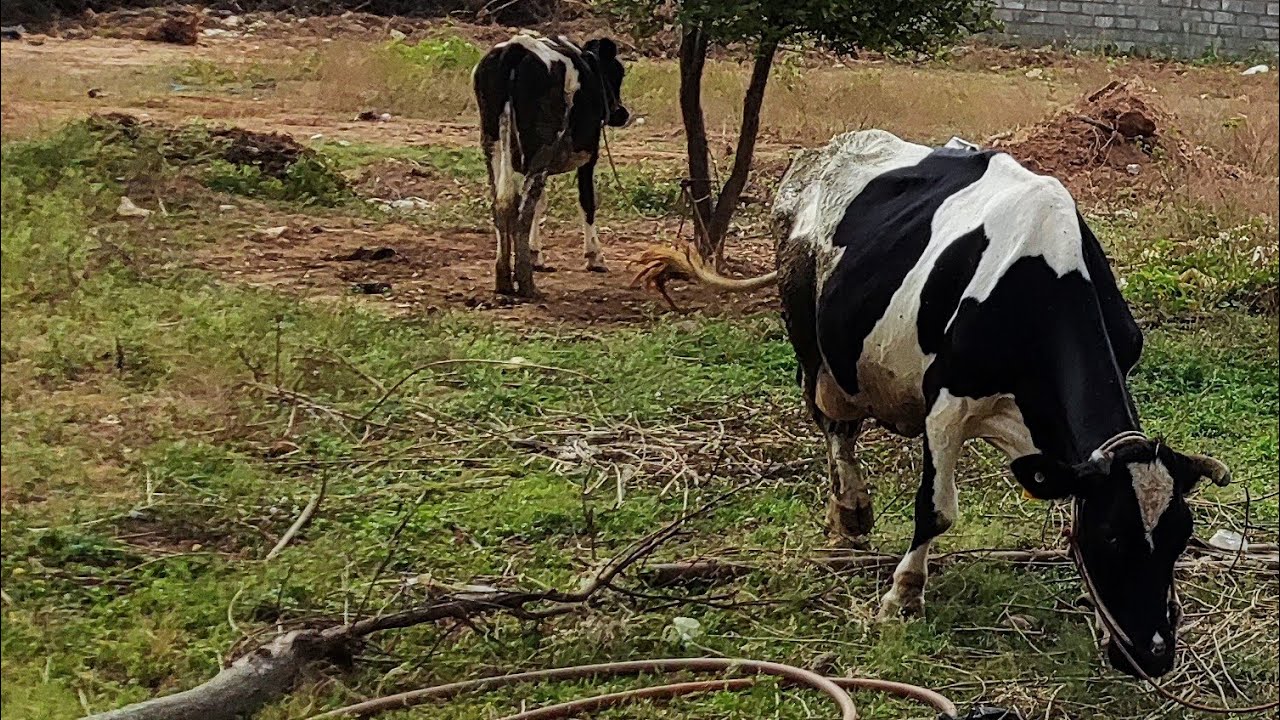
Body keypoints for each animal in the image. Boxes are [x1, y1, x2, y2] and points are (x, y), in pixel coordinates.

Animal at [472, 33, 631, 297]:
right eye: (617, 72)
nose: (622, 114)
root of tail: (515, 49)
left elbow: (540, 203)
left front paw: (536, 254)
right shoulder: (589, 154)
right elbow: (587, 201)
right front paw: (595, 257)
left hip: (493, 141)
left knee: (503, 203)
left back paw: (504, 279)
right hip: (542, 146)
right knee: (523, 208)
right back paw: (526, 283)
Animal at [632, 129, 1233, 679]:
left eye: (1182, 537)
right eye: (1111, 539)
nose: (1153, 656)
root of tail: (825, 150)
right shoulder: (945, 401)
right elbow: (936, 509)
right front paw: (902, 596)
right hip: (814, 346)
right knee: (833, 425)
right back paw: (849, 510)